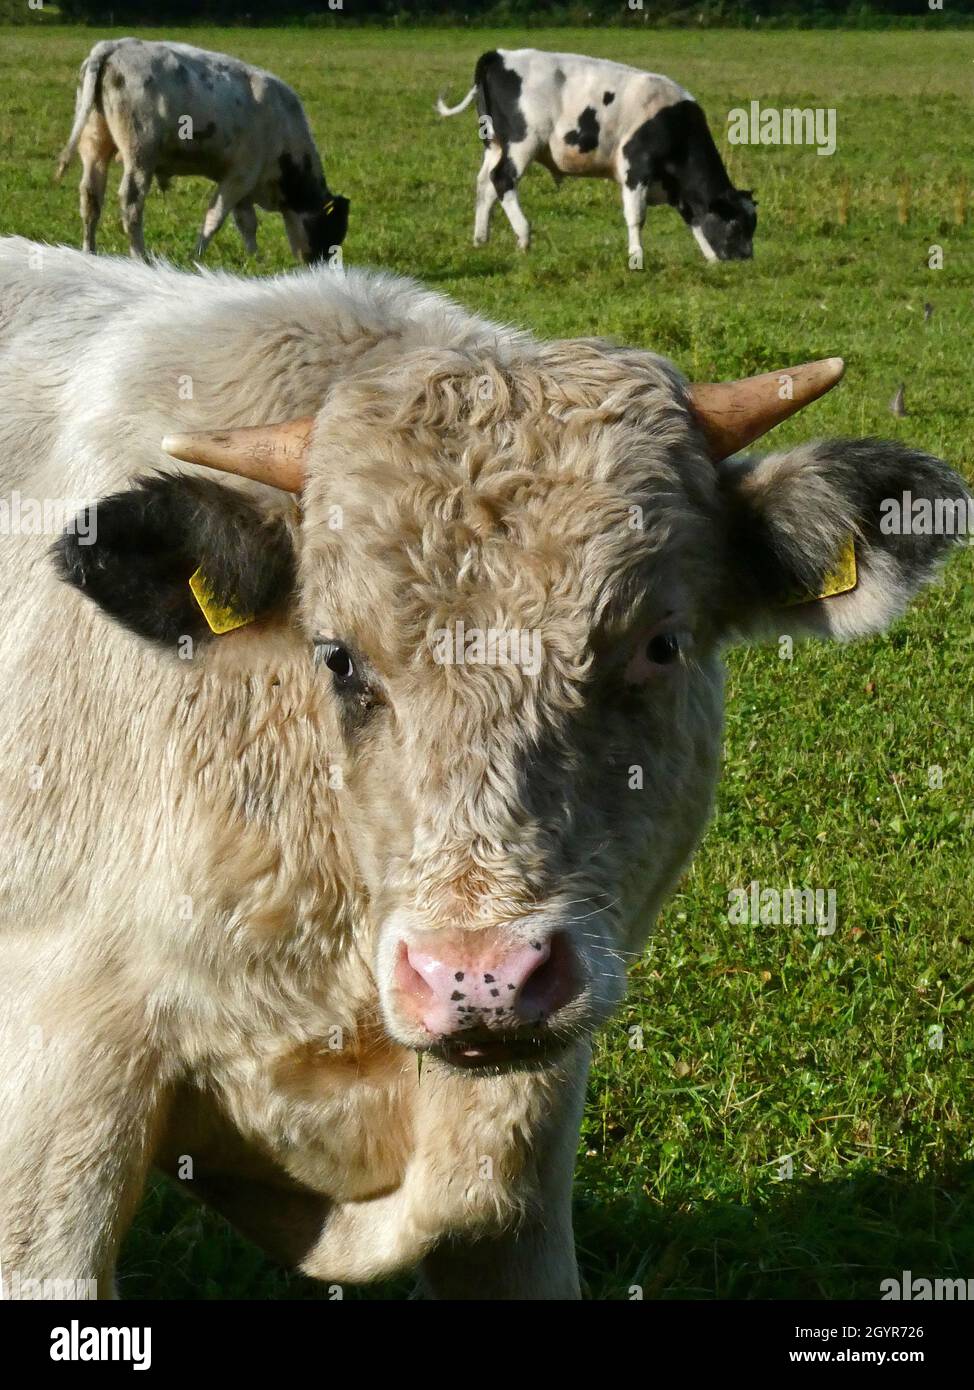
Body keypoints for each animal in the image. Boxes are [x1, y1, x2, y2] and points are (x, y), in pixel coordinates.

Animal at [55, 38, 350, 264]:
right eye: (332, 229)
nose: (321, 268)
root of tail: (115, 45)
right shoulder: (239, 176)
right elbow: (215, 218)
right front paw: (195, 256)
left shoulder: (244, 184)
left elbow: (247, 224)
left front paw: (255, 259)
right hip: (140, 155)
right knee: (131, 203)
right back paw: (140, 256)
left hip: (94, 147)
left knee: (91, 197)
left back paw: (89, 253)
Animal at [437, 48, 756, 269]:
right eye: (737, 225)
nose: (746, 260)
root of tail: (499, 55)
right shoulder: (635, 168)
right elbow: (636, 216)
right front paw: (636, 256)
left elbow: (695, 220)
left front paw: (709, 257)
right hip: (523, 142)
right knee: (502, 179)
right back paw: (524, 237)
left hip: (494, 144)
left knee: (485, 185)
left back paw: (480, 239)